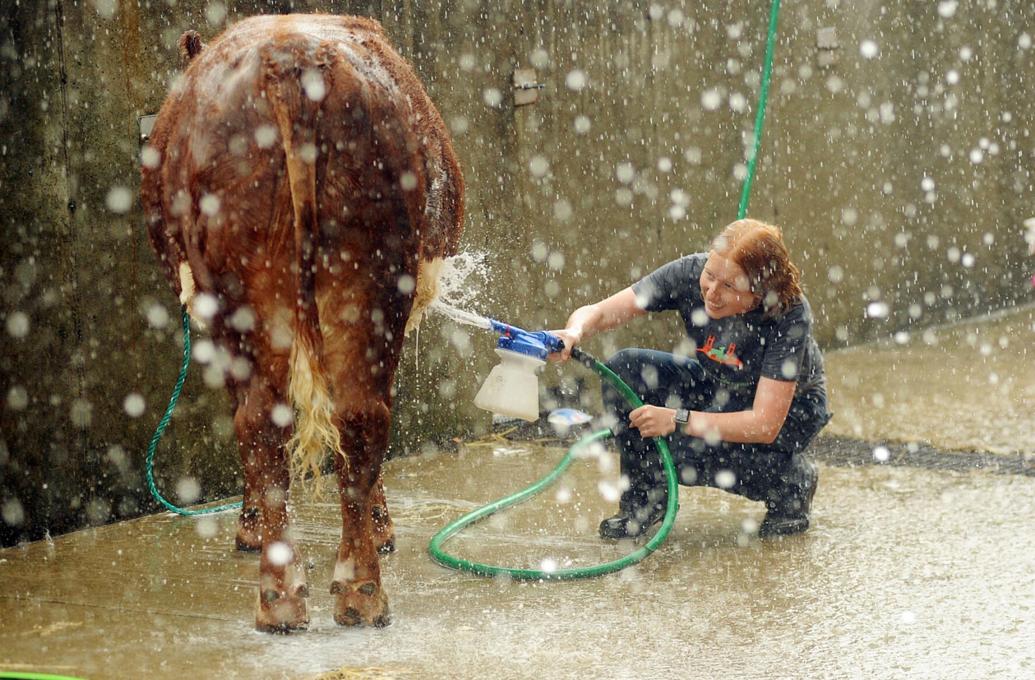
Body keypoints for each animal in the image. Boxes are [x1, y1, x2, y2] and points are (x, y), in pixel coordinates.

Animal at [140, 14, 464, 631]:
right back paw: (353, 591)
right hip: (370, 278)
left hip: (257, 294)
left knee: (264, 422)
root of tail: (292, 58)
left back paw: (288, 590)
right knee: (356, 416)